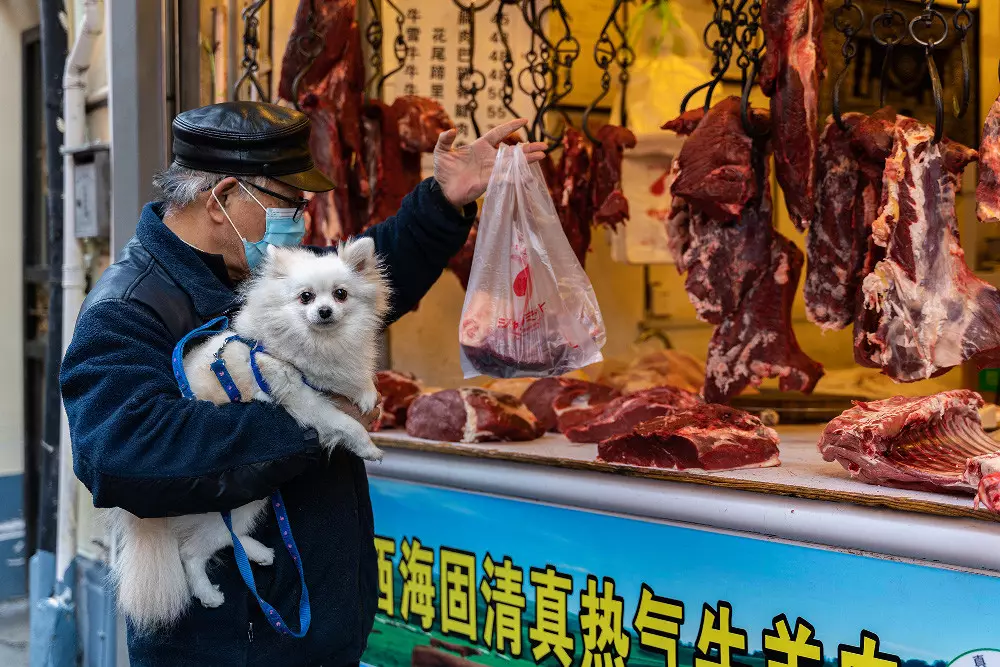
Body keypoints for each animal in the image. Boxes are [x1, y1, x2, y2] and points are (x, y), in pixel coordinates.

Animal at [107, 237, 390, 636]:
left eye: (340, 294)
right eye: (305, 297)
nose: (324, 311)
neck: (316, 344)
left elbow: (355, 382)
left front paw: (366, 393)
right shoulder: (300, 399)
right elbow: (344, 423)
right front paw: (368, 445)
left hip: (251, 500)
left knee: (229, 536)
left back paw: (257, 552)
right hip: (227, 504)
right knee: (191, 553)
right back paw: (208, 594)